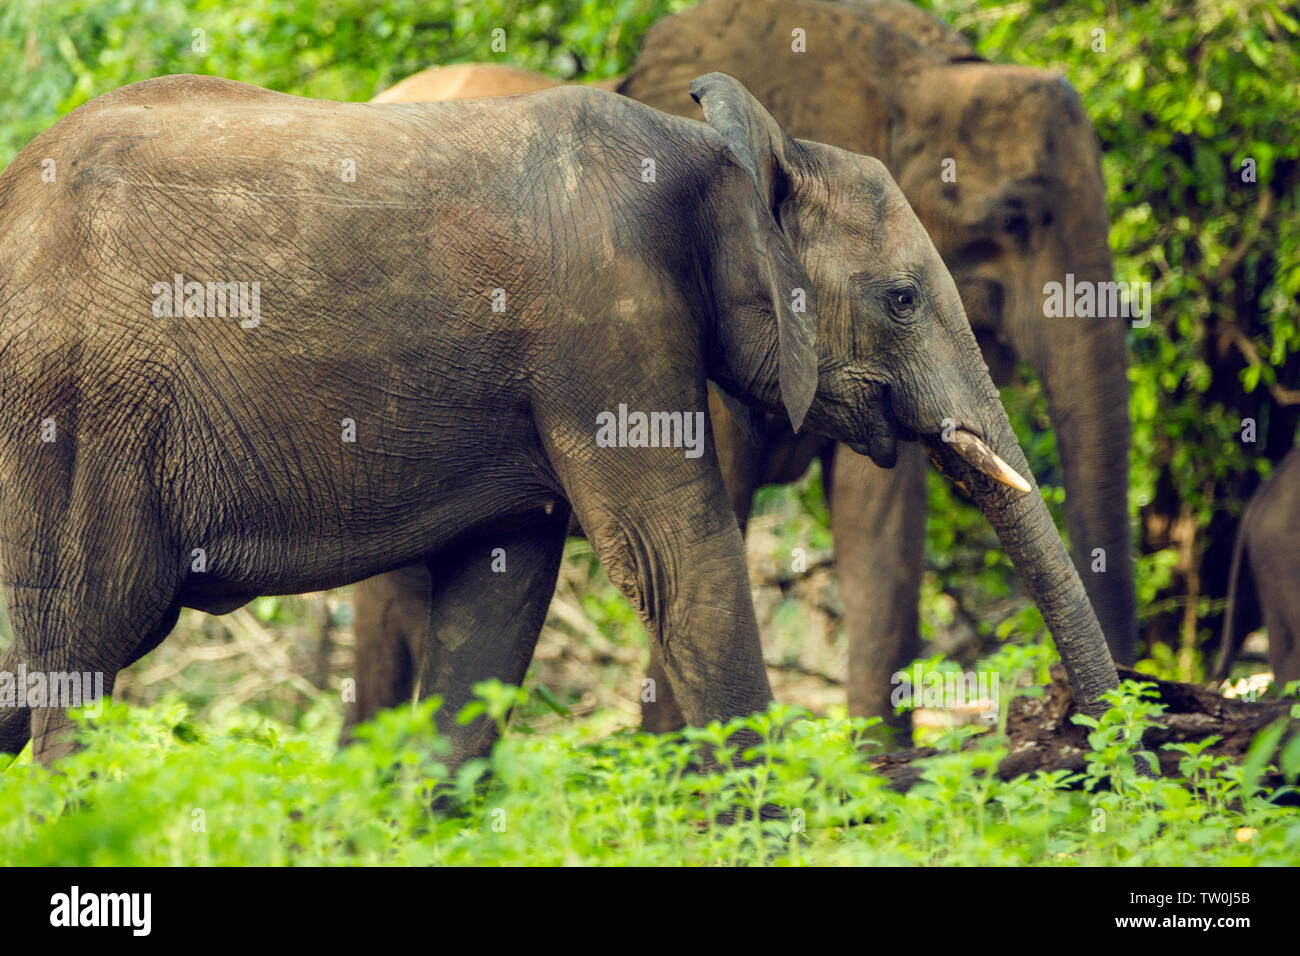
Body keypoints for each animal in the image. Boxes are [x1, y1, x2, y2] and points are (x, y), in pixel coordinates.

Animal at [0, 69, 1118, 774]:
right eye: (902, 299)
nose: (1085, 743)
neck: (720, 150)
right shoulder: (608, 321)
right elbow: (679, 561)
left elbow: (496, 603)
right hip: (73, 416)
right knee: (81, 651)